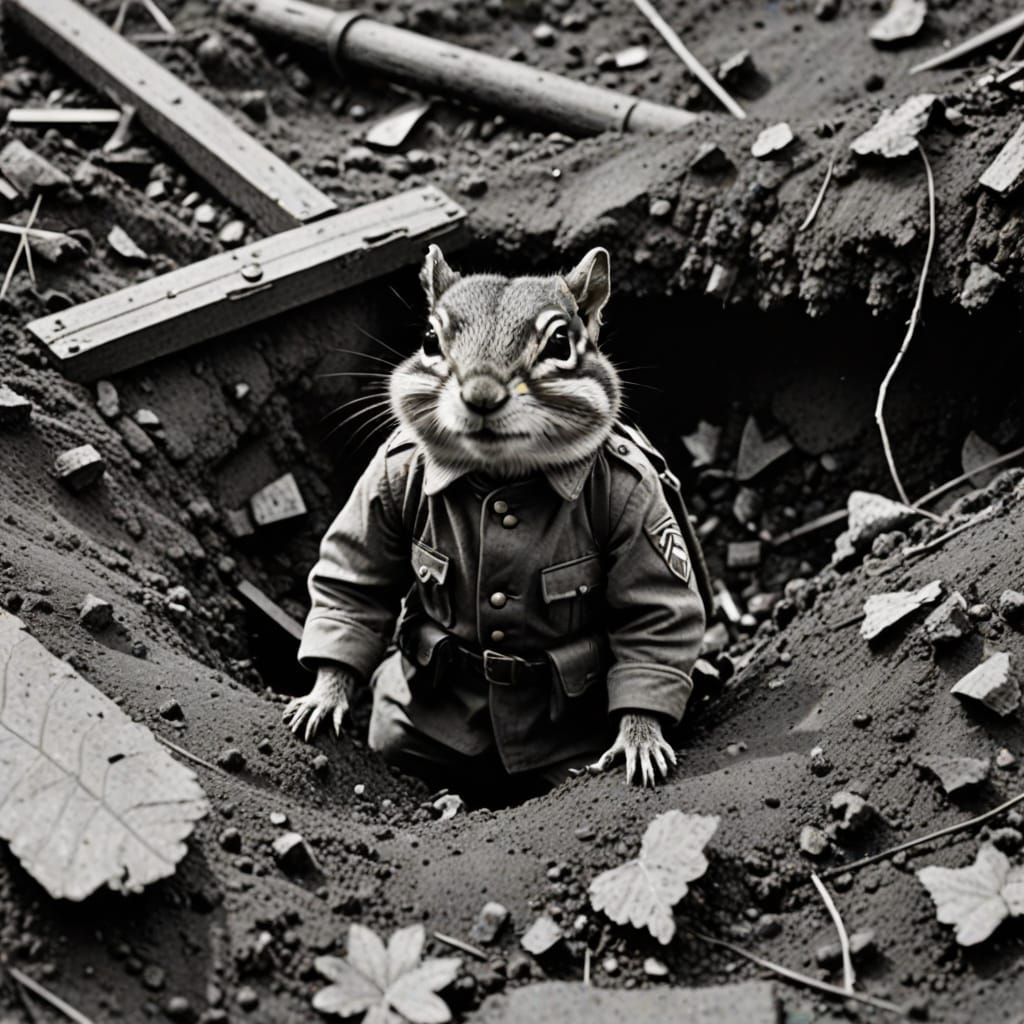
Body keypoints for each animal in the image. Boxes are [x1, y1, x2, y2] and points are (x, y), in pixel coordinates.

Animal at [284, 245, 706, 788]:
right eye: (429, 338)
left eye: (561, 341)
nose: (481, 395)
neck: (500, 481)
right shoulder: (387, 475)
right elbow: (356, 580)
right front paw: (324, 693)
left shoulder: (635, 499)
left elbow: (653, 613)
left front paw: (640, 735)